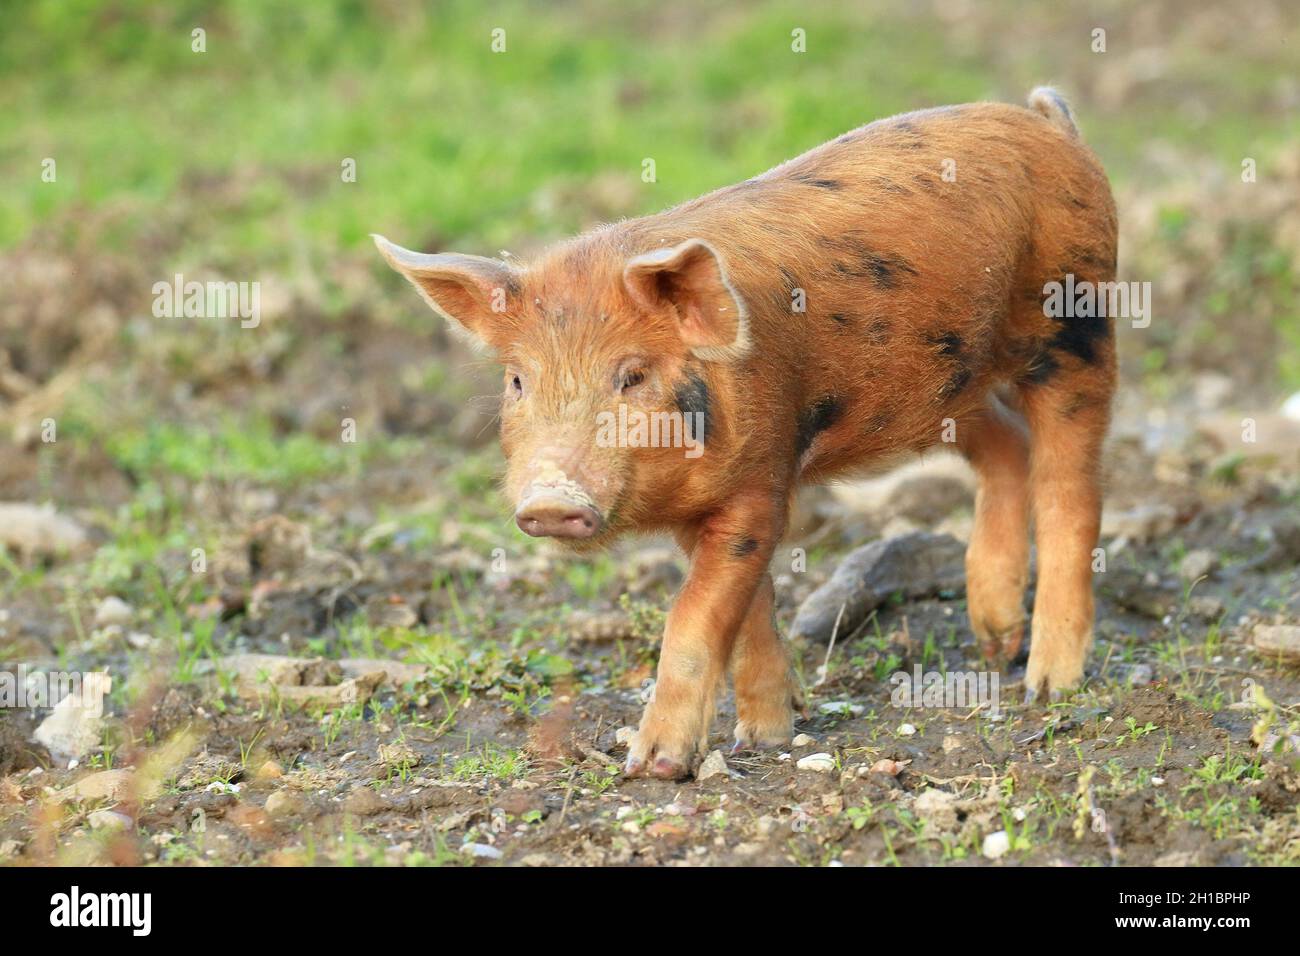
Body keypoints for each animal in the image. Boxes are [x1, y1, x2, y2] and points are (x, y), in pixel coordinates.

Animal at [375, 87, 1117, 779]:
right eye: (517, 381)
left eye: (633, 376)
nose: (551, 500)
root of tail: (1049, 124)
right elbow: (746, 612)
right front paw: (763, 736)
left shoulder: (762, 483)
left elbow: (695, 614)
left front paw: (654, 766)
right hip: (942, 389)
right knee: (1008, 446)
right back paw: (994, 642)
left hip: (1078, 321)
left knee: (1071, 485)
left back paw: (1048, 686)